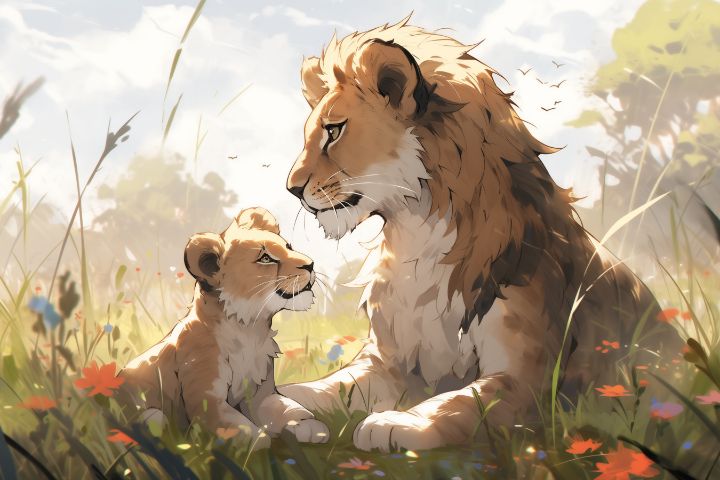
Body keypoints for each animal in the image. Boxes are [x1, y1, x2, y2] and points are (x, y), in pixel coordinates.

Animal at [119, 207, 329, 448]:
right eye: (266, 258)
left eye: (289, 247)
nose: (311, 264)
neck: (249, 330)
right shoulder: (207, 400)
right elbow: (246, 432)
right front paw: (257, 445)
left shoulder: (261, 393)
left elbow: (287, 408)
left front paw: (310, 427)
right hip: (149, 414)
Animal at [281, 18, 682, 452]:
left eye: (334, 131)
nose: (292, 188)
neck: (415, 235)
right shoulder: (389, 360)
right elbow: (330, 385)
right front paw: (283, 402)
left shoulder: (526, 381)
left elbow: (454, 406)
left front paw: (393, 423)